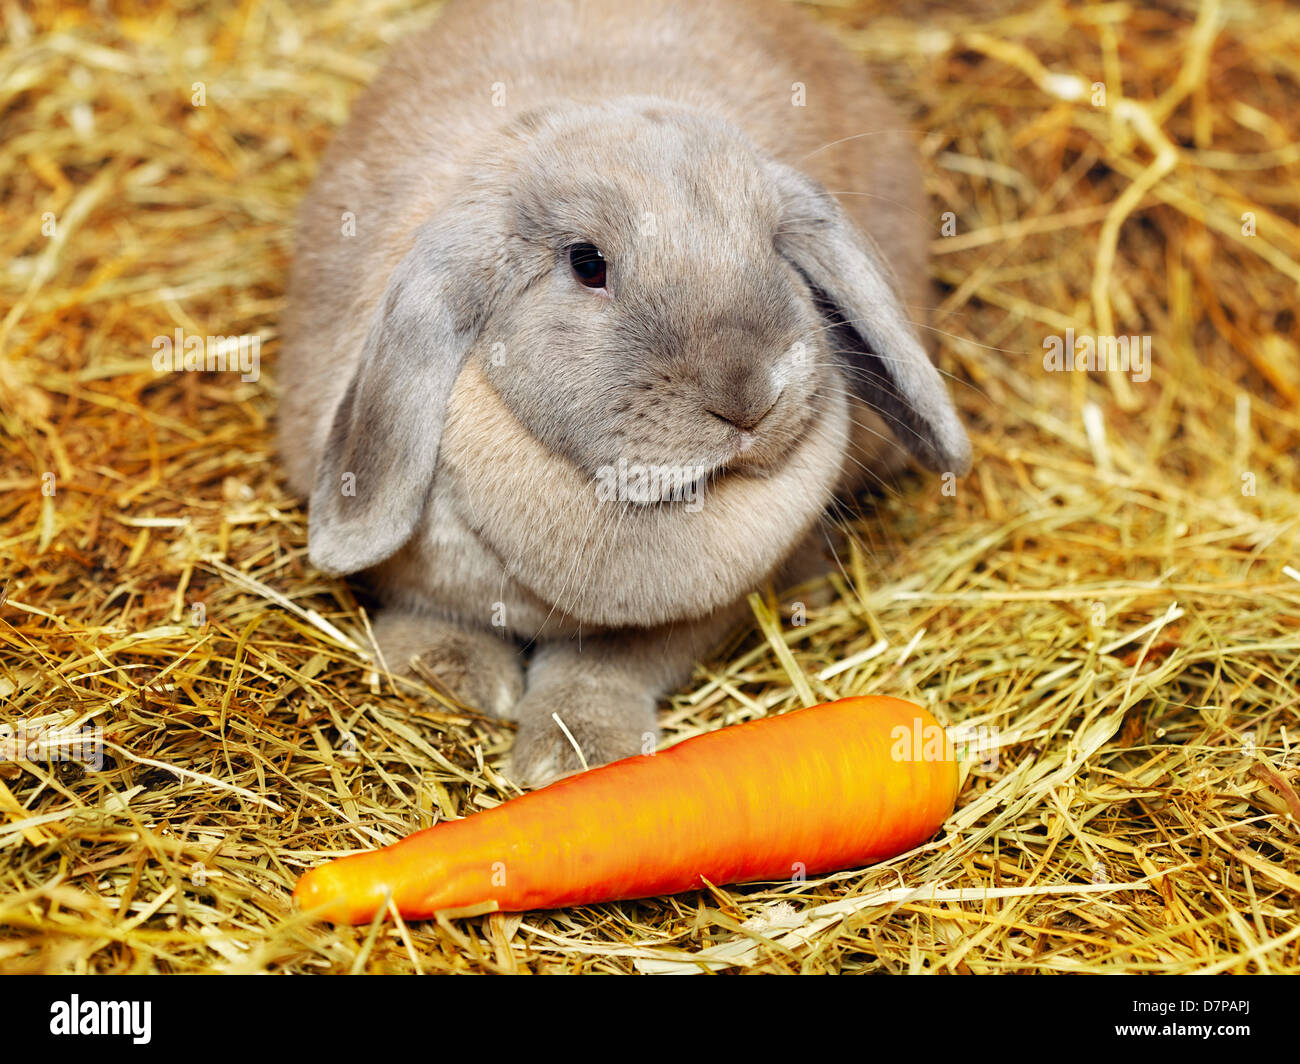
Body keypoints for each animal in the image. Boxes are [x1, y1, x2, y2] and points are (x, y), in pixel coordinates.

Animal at [278, 0, 971, 788]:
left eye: (774, 247)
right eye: (587, 263)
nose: (749, 397)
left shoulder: (683, 623)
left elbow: (606, 668)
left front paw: (572, 754)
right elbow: (434, 613)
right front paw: (445, 674)